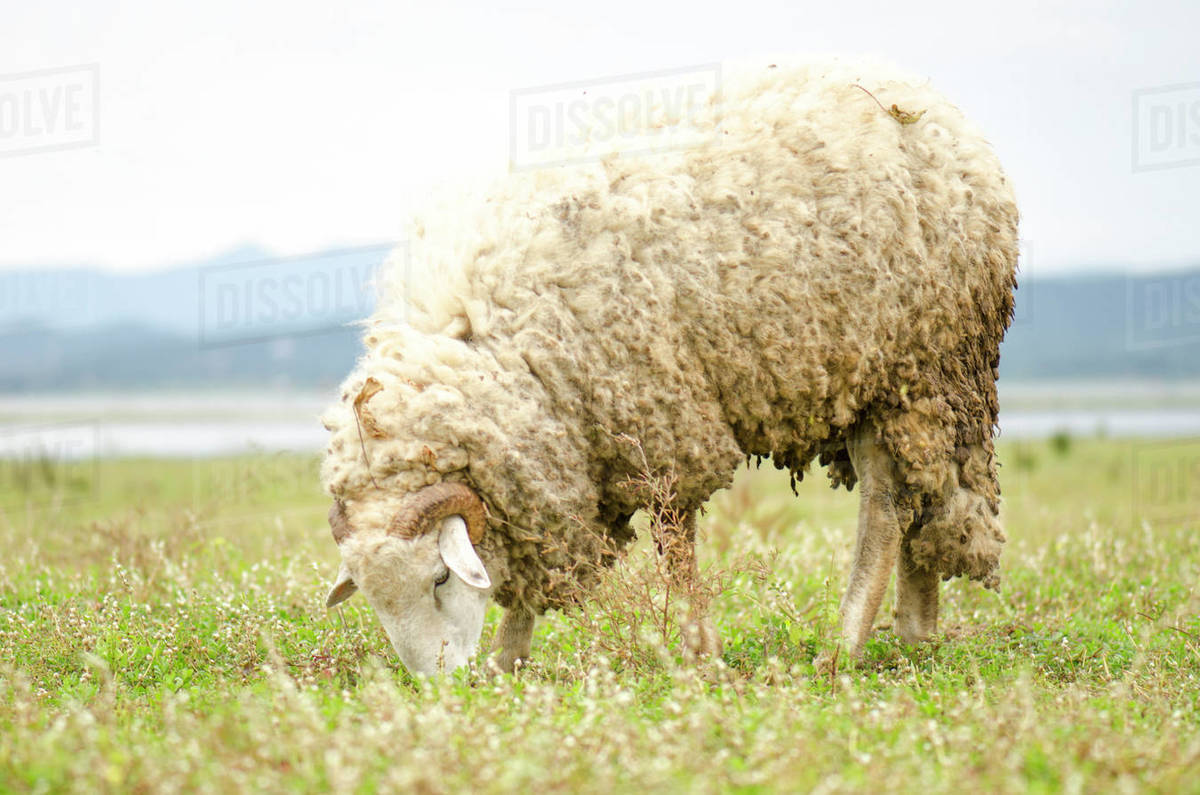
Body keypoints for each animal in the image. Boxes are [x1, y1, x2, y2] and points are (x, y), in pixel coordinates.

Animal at [319, 57, 1019, 676]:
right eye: (376, 599)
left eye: (440, 576)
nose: (440, 684)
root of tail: (940, 111)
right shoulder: (571, 449)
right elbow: (547, 557)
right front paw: (509, 658)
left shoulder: (659, 417)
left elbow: (674, 542)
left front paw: (697, 650)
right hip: (882, 376)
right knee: (922, 495)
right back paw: (917, 630)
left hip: (922, 362)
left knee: (888, 501)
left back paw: (846, 645)